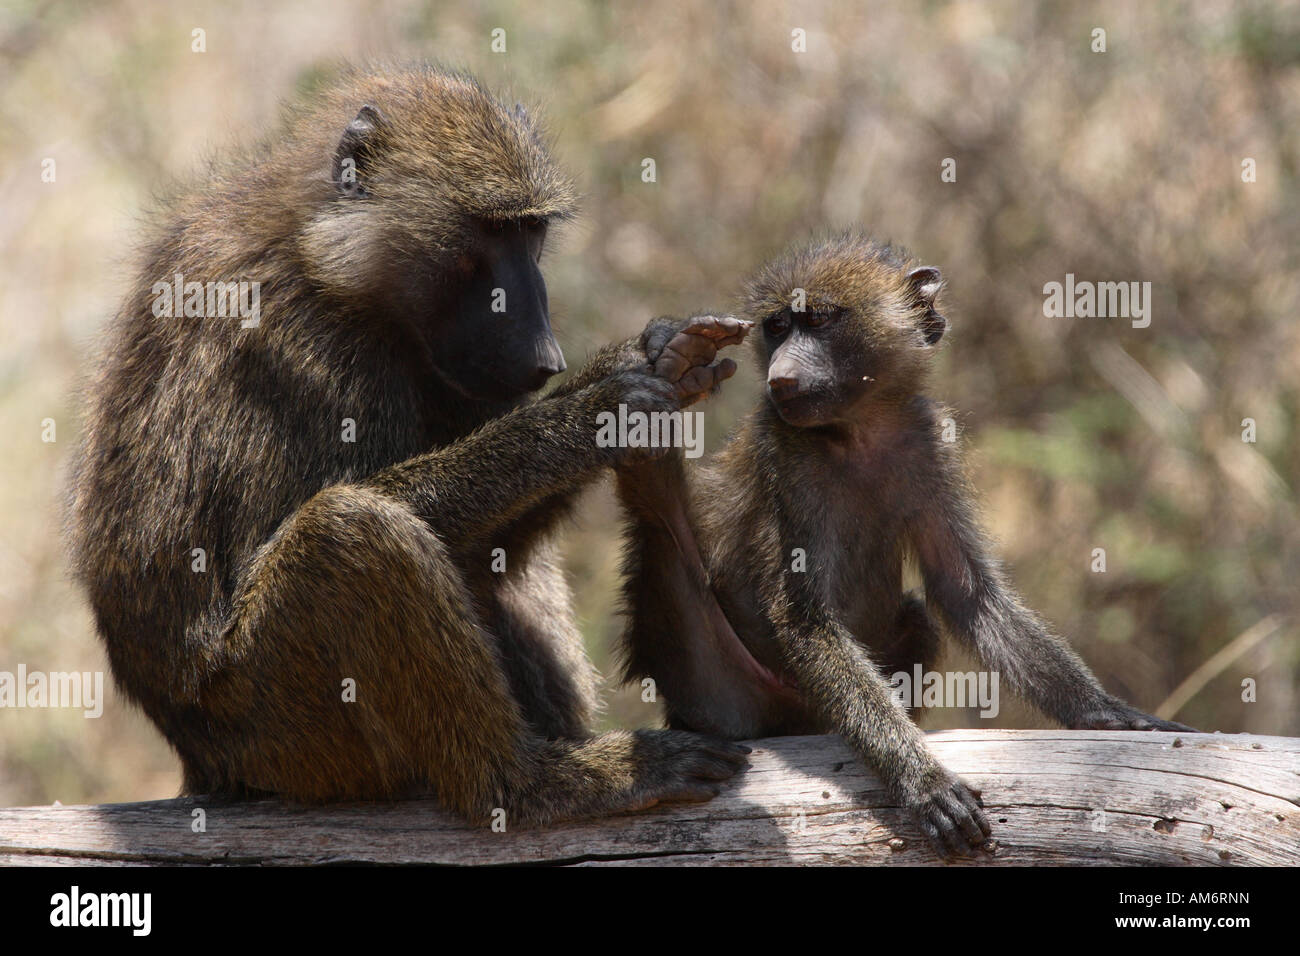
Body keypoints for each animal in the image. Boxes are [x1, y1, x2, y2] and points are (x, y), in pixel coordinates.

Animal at [64, 64, 754, 829]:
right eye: (488, 232)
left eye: (532, 233)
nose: (545, 357)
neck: (329, 262)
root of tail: (207, 766)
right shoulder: (299, 345)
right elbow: (264, 544)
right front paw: (592, 412)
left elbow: (485, 563)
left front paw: (665, 360)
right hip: (285, 733)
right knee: (350, 532)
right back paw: (540, 786)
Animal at [614, 232, 1195, 857]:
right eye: (777, 326)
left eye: (819, 320)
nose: (781, 377)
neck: (860, 429)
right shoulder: (787, 456)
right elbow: (804, 621)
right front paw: (925, 783)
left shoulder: (928, 441)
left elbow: (965, 592)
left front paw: (1111, 715)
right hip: (720, 688)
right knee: (660, 518)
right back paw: (671, 371)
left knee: (917, 616)